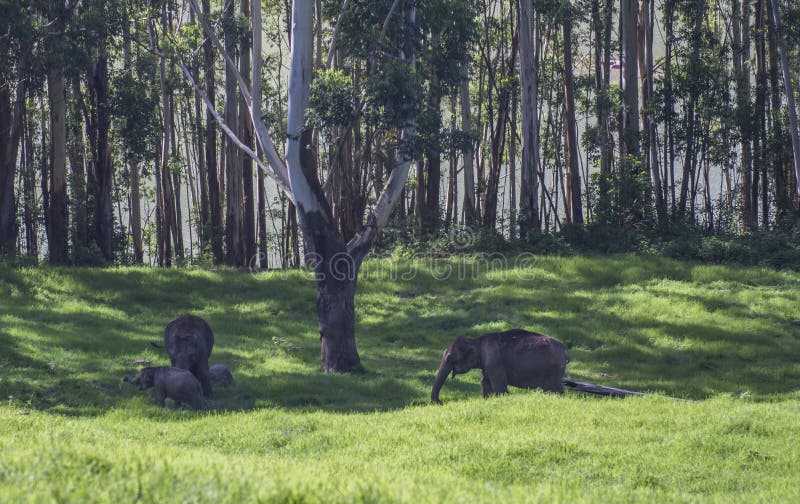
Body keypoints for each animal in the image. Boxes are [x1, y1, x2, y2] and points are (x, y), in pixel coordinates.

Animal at [431, 329, 570, 403]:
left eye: (450, 358)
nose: (440, 401)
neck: (477, 341)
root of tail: (566, 351)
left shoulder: (494, 362)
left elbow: (500, 389)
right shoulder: (487, 365)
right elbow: (484, 383)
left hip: (553, 371)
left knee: (555, 390)